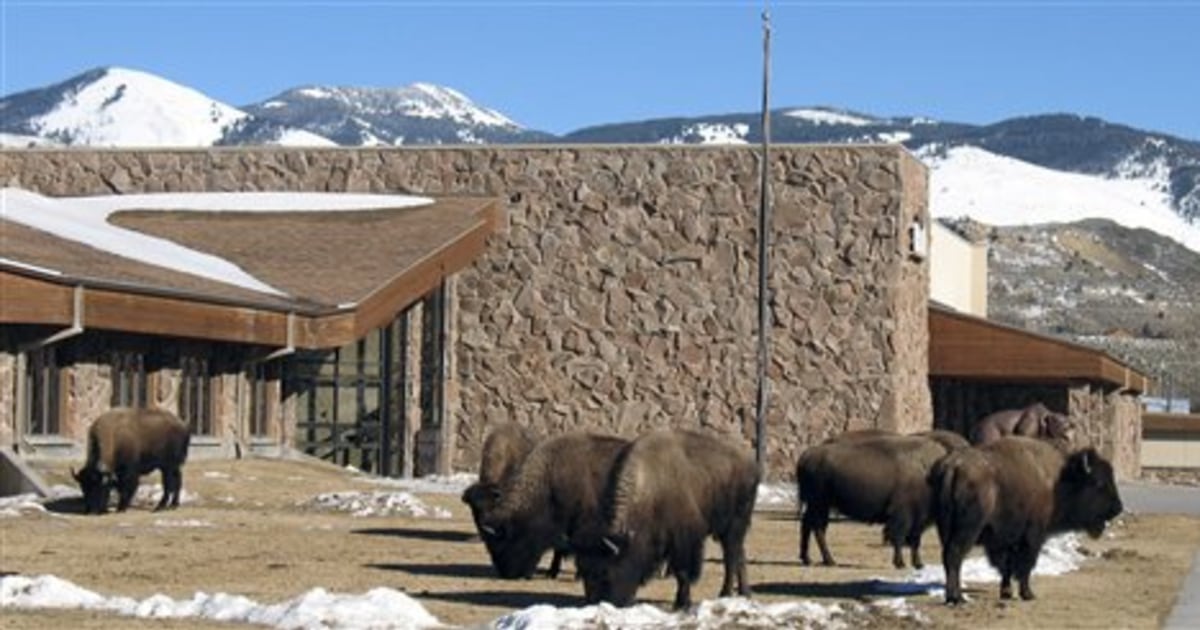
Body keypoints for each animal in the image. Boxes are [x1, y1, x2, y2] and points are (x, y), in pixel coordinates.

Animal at [573, 429, 759, 610]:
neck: (650, 490)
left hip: (733, 526)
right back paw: (745, 593)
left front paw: (682, 603)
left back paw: (725, 594)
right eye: (584, 573)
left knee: (730, 558)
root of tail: (750, 464)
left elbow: (683, 573)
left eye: (605, 573)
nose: (598, 604)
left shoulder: (685, 541)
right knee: (739, 556)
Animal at [796, 429, 970, 569]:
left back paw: (808, 559)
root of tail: (806, 455)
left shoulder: (919, 520)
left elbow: (915, 541)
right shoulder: (903, 516)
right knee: (817, 529)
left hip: (818, 505)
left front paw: (918, 564)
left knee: (808, 525)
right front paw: (900, 563)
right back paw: (829, 560)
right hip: (819, 504)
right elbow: (898, 537)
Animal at [930, 437, 1123, 604]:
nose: (1118, 508)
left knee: (948, 558)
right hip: (968, 530)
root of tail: (953, 467)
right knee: (955, 555)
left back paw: (953, 596)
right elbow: (1026, 564)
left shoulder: (1005, 540)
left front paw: (1007, 593)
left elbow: (1007, 565)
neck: (1058, 482)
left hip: (946, 530)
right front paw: (1028, 594)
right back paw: (956, 598)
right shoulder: (1033, 535)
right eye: (1099, 483)